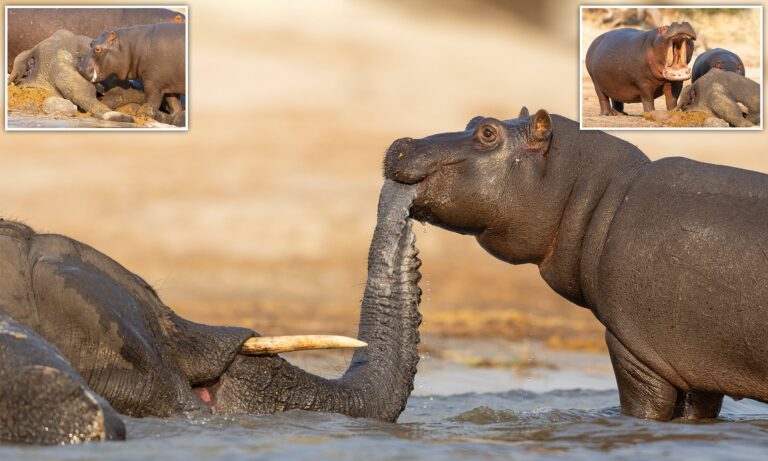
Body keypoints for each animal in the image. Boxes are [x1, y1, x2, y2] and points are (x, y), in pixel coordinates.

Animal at [382, 107, 768, 421]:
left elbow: (643, 409)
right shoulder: (697, 368)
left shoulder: (637, 351)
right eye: (473, 120)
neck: (601, 194)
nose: (402, 143)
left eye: (488, 132)